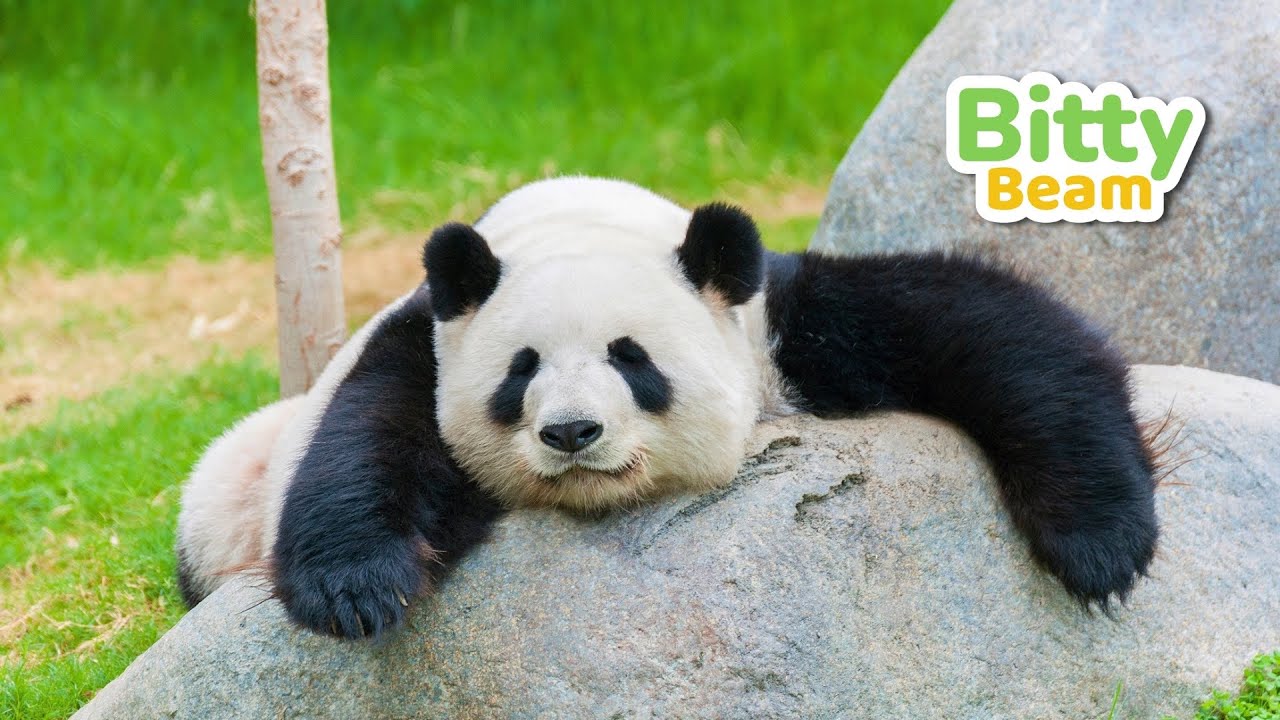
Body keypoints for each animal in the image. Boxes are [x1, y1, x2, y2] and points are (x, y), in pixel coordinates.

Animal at [175, 176, 1159, 640]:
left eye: (632, 358)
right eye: (521, 372)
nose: (573, 432)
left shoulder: (777, 324)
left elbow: (986, 328)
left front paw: (1101, 544)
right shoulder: (425, 339)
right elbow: (368, 435)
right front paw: (357, 588)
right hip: (226, 496)